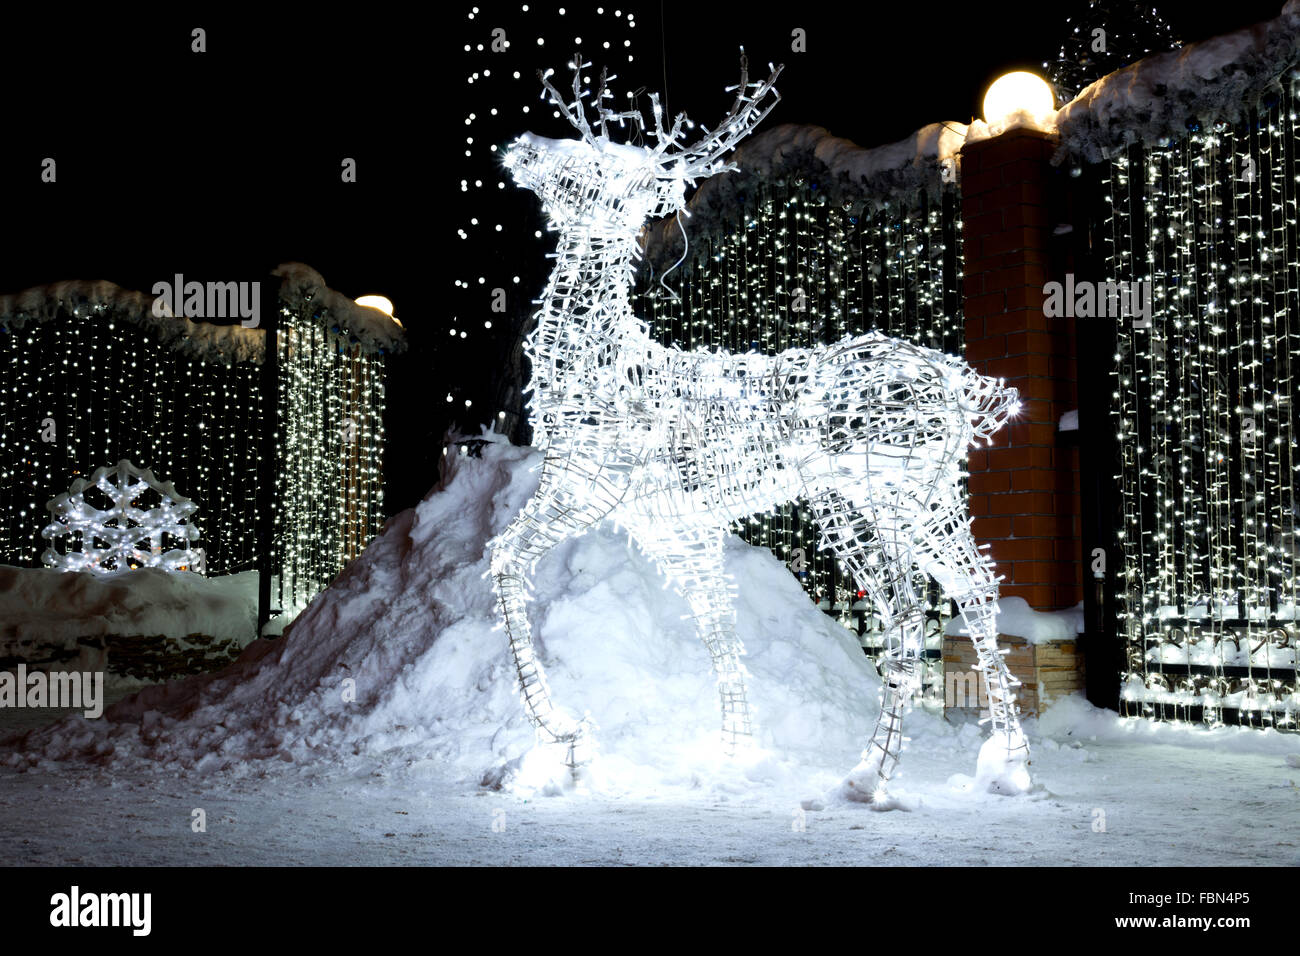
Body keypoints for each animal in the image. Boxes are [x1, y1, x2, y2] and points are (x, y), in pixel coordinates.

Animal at [490, 53, 1032, 801]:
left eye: (598, 158)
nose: (520, 146)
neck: (595, 365)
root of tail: (959, 384)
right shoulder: (677, 527)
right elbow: (718, 624)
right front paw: (732, 755)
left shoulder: (586, 484)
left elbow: (505, 560)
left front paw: (567, 736)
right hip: (932, 495)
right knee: (977, 588)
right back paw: (1008, 766)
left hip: (865, 498)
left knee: (902, 610)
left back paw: (868, 774)